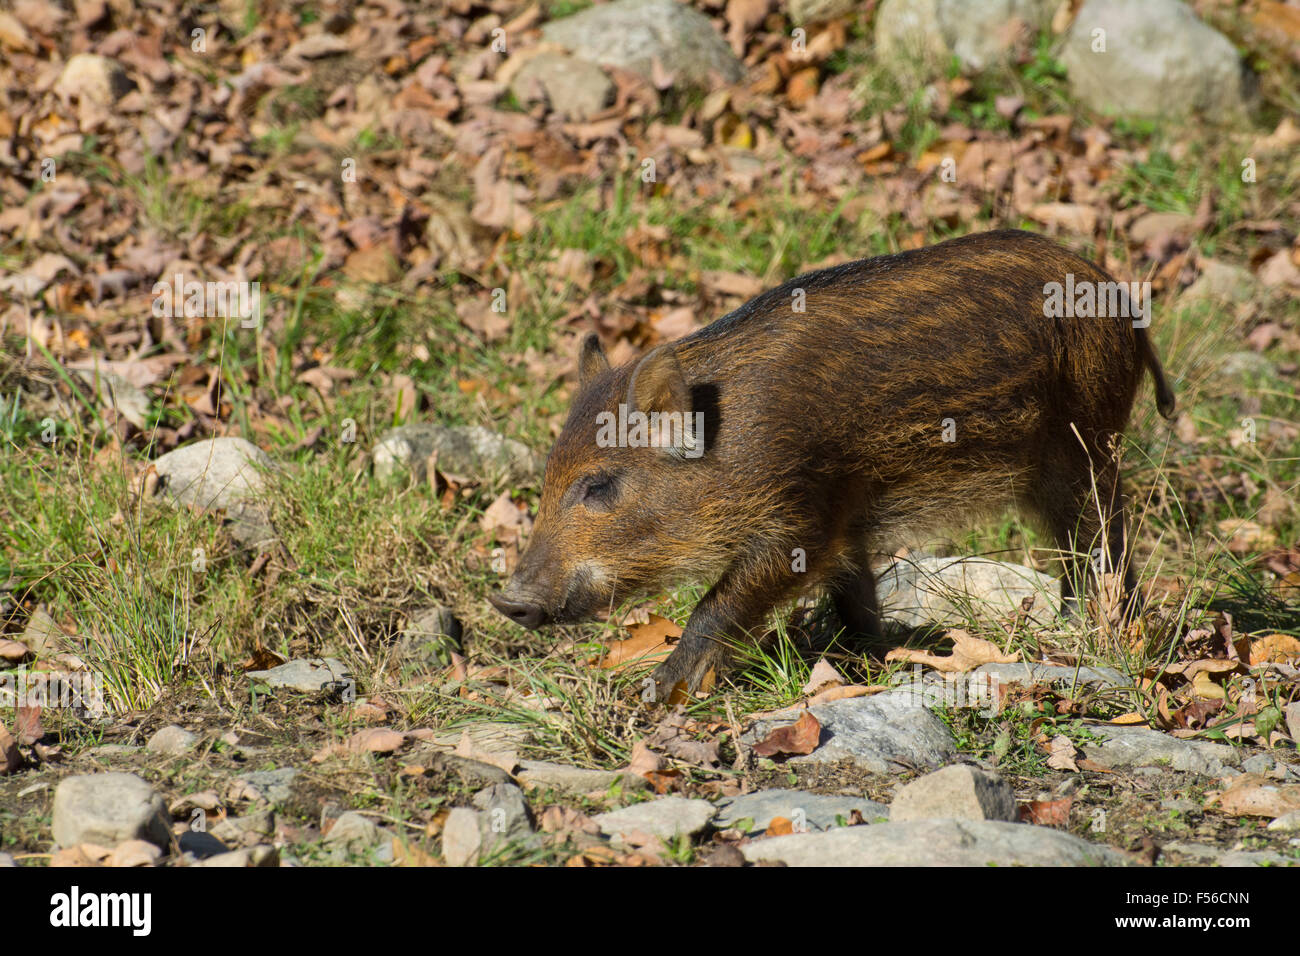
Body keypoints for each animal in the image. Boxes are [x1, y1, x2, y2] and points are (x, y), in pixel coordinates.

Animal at [490, 229, 1176, 698]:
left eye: (600, 485)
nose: (508, 602)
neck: (728, 447)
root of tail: (1119, 297)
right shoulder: (845, 522)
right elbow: (856, 596)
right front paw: (869, 662)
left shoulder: (799, 522)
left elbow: (716, 604)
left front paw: (656, 695)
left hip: (1086, 444)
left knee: (1101, 540)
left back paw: (1093, 634)